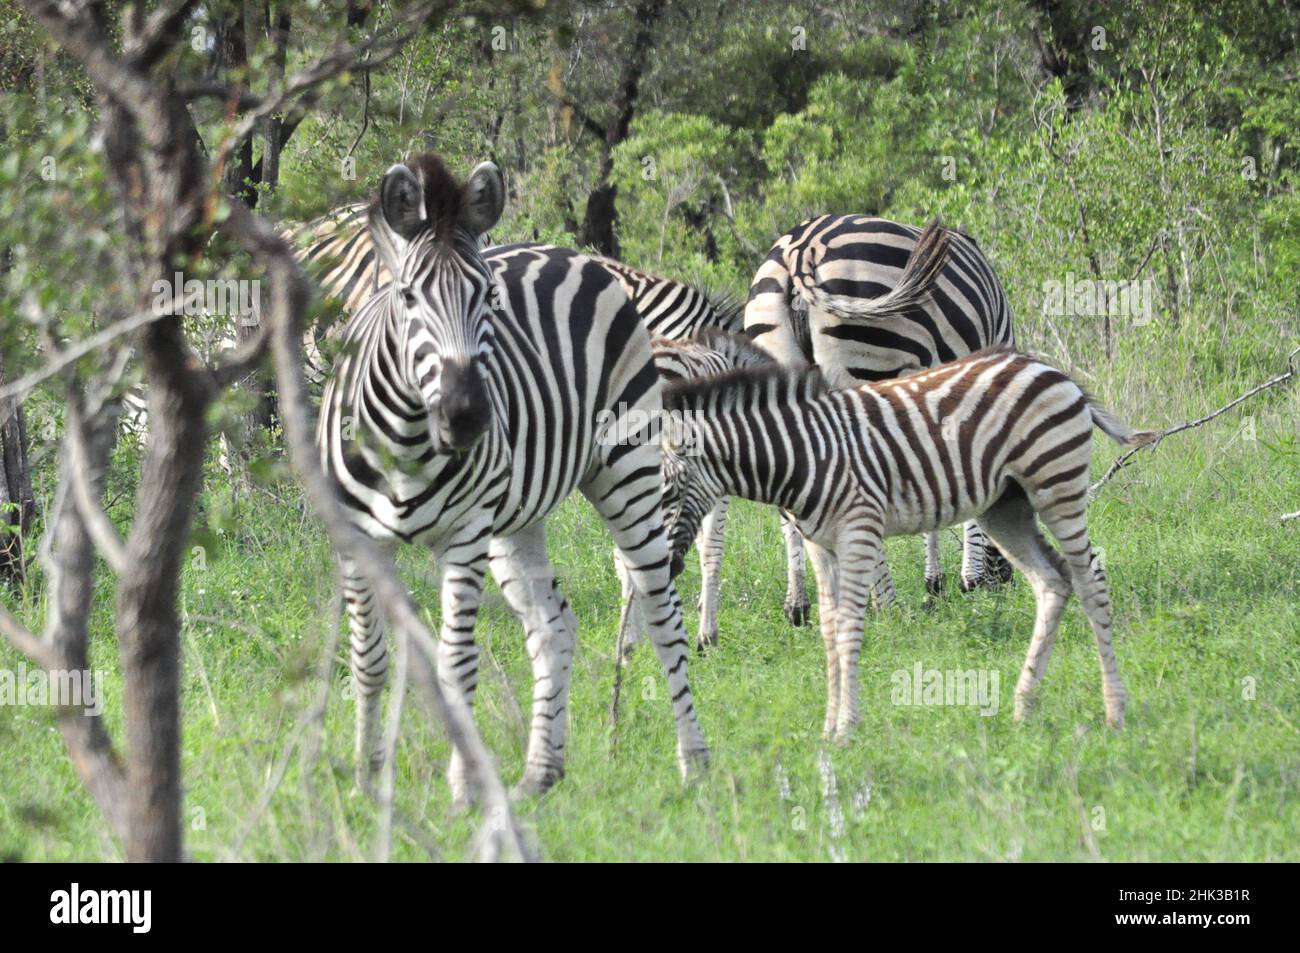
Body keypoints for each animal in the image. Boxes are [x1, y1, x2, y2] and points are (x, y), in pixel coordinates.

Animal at [318, 154, 709, 802]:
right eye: (408, 296)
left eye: (488, 295)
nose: (468, 415)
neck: (407, 439)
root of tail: (572, 252)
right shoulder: (355, 540)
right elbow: (368, 662)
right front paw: (366, 789)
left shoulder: (464, 535)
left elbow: (456, 664)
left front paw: (462, 792)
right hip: (516, 518)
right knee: (555, 625)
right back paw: (539, 773)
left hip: (626, 471)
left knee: (662, 613)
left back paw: (693, 765)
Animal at [657, 341, 1154, 739]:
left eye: (668, 491)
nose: (666, 567)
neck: (803, 455)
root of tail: (1047, 367)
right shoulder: (820, 544)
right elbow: (829, 628)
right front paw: (828, 728)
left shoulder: (858, 529)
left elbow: (850, 626)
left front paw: (846, 729)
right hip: (1005, 507)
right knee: (1053, 583)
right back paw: (1023, 707)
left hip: (1056, 484)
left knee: (1091, 580)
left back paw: (1115, 712)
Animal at [745, 214, 1018, 623]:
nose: (1008, 582)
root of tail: (801, 247)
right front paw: (968, 579)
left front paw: (936, 583)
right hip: (866, 365)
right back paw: (885, 605)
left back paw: (799, 607)